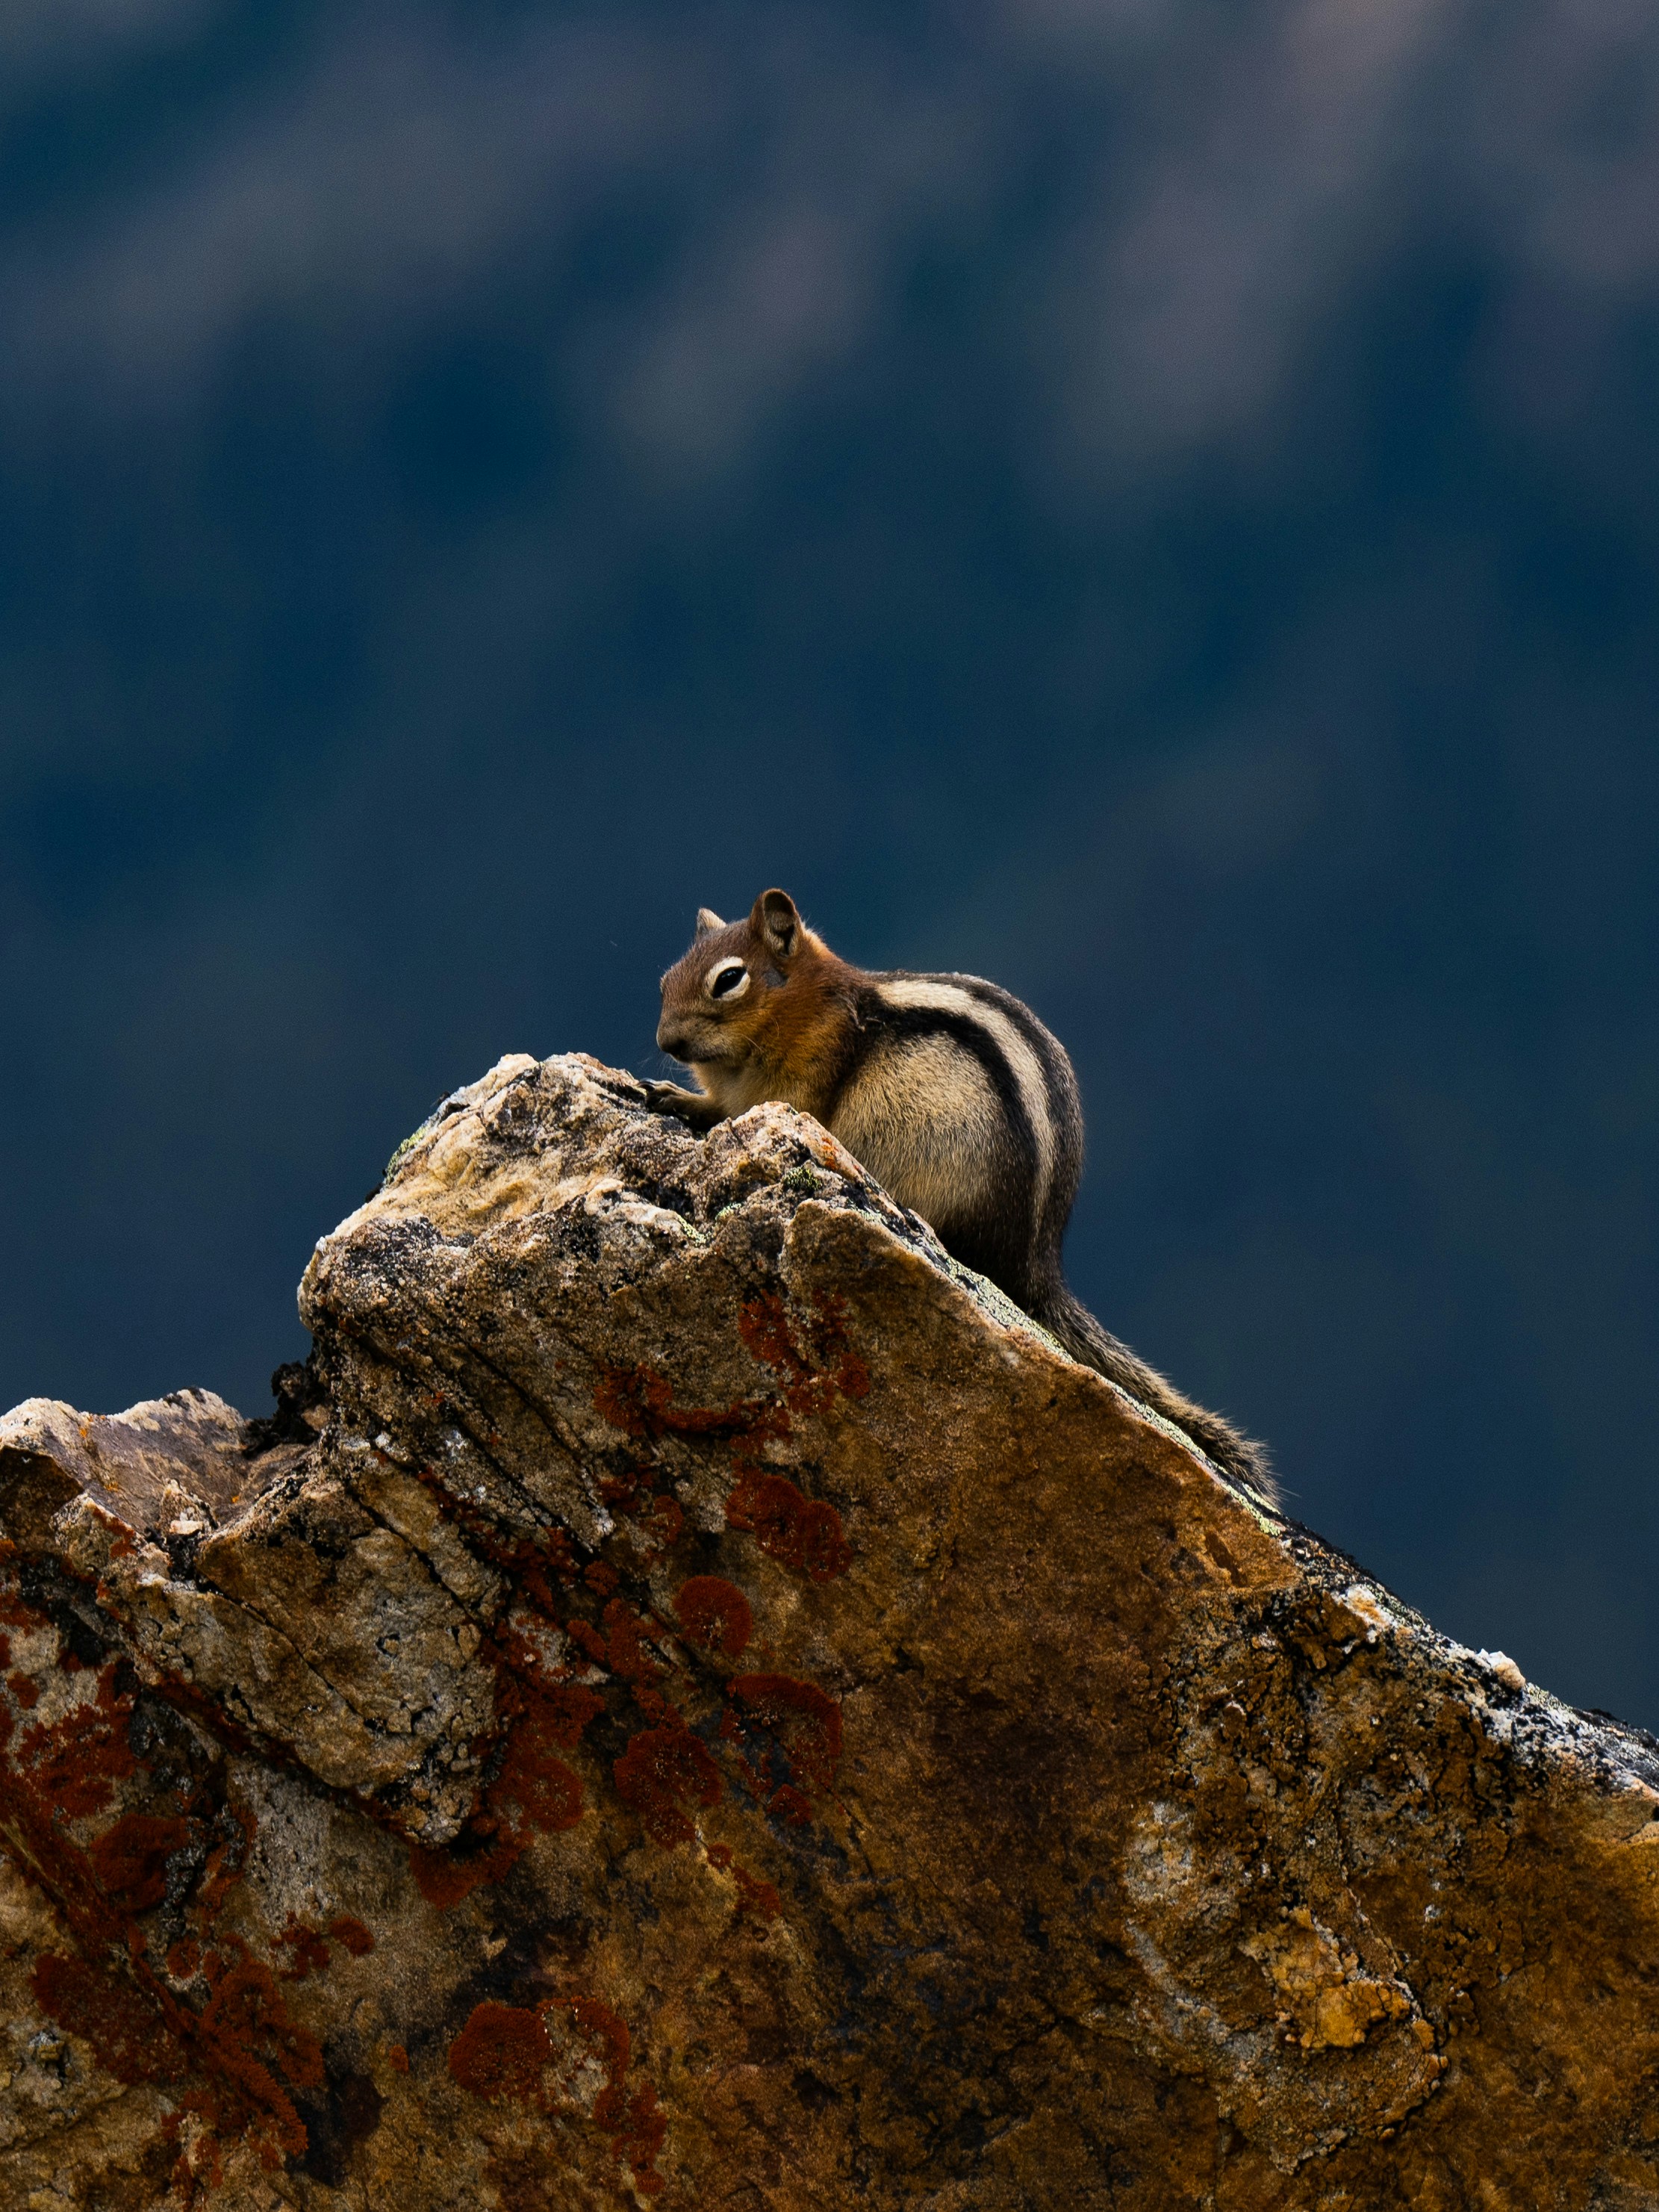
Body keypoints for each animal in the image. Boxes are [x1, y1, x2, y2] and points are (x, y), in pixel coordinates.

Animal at [645, 888, 1276, 1503]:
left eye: (729, 979)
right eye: (664, 981)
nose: (667, 1042)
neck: (802, 1007)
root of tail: (1036, 1268)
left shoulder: (805, 1078)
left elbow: (765, 1108)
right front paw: (678, 1095)